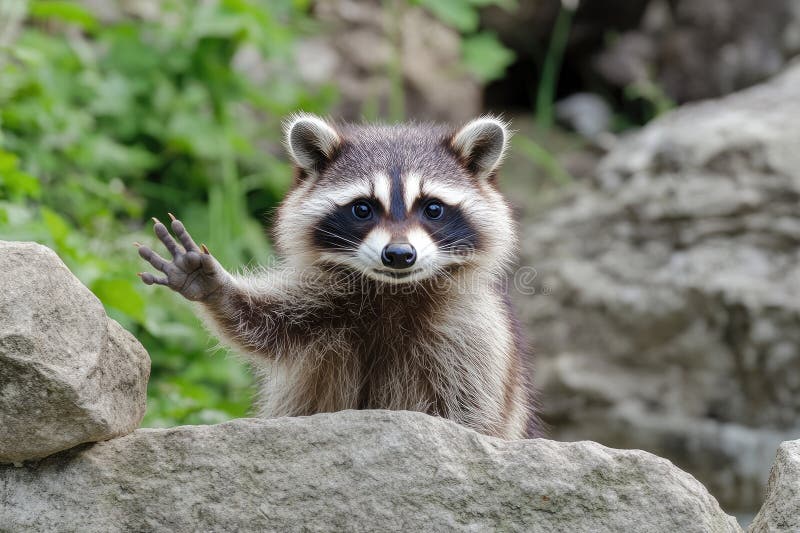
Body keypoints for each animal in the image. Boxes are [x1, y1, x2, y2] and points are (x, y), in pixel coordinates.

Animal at [137, 114, 539, 439]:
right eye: (362, 209)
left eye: (433, 209)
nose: (399, 255)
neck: (394, 290)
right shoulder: (323, 304)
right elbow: (262, 323)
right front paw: (214, 286)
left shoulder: (473, 331)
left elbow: (470, 410)